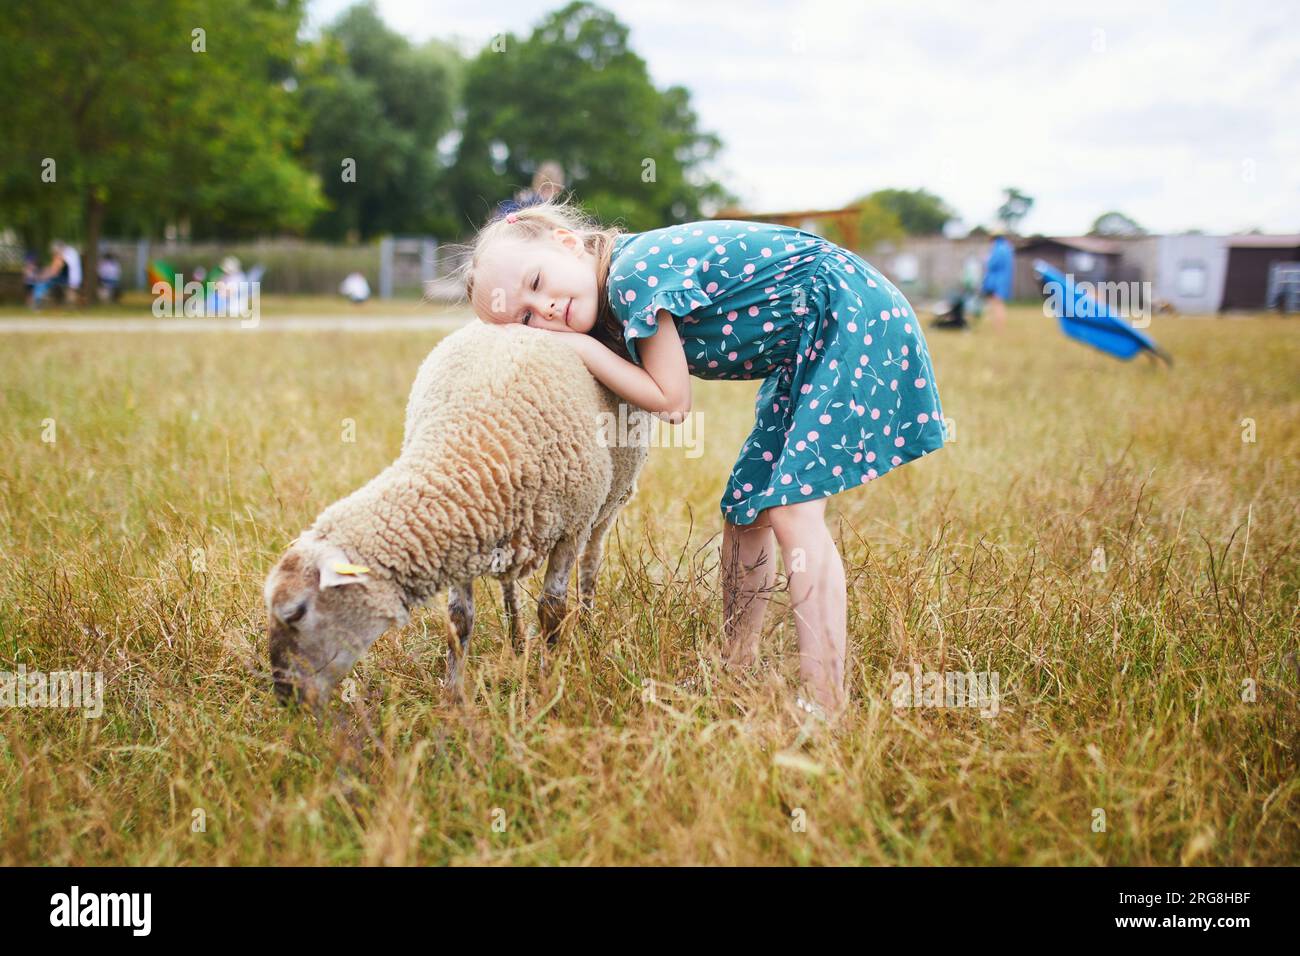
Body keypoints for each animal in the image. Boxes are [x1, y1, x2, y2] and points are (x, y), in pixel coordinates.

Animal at [265, 320, 650, 706]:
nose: (285, 695)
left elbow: (551, 611)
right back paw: (516, 640)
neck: (472, 438)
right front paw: (452, 699)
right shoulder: (464, 530)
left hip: (609, 502)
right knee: (510, 584)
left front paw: (546, 686)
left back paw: (586, 625)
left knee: (591, 562)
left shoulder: (571, 529)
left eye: (295, 612)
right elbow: (458, 619)